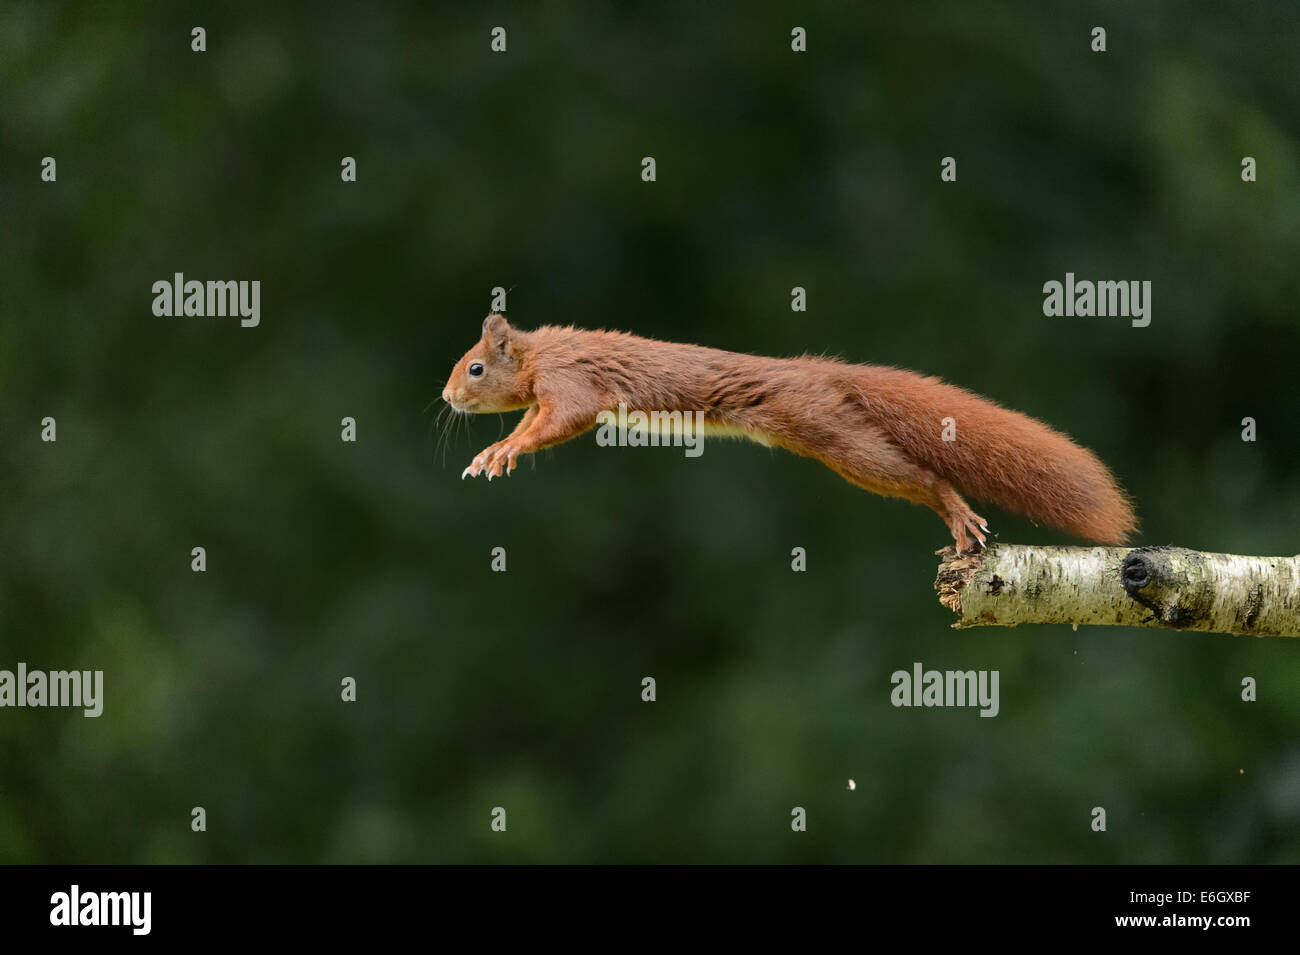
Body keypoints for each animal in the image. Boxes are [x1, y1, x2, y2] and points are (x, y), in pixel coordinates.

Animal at [442, 314, 1137, 552]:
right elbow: (536, 420)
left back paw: (955, 510)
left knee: (920, 477)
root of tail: (819, 372)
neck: (537, 355)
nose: (447, 396)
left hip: (833, 436)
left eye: (474, 367)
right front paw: (493, 450)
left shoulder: (572, 381)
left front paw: (505, 447)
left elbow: (561, 420)